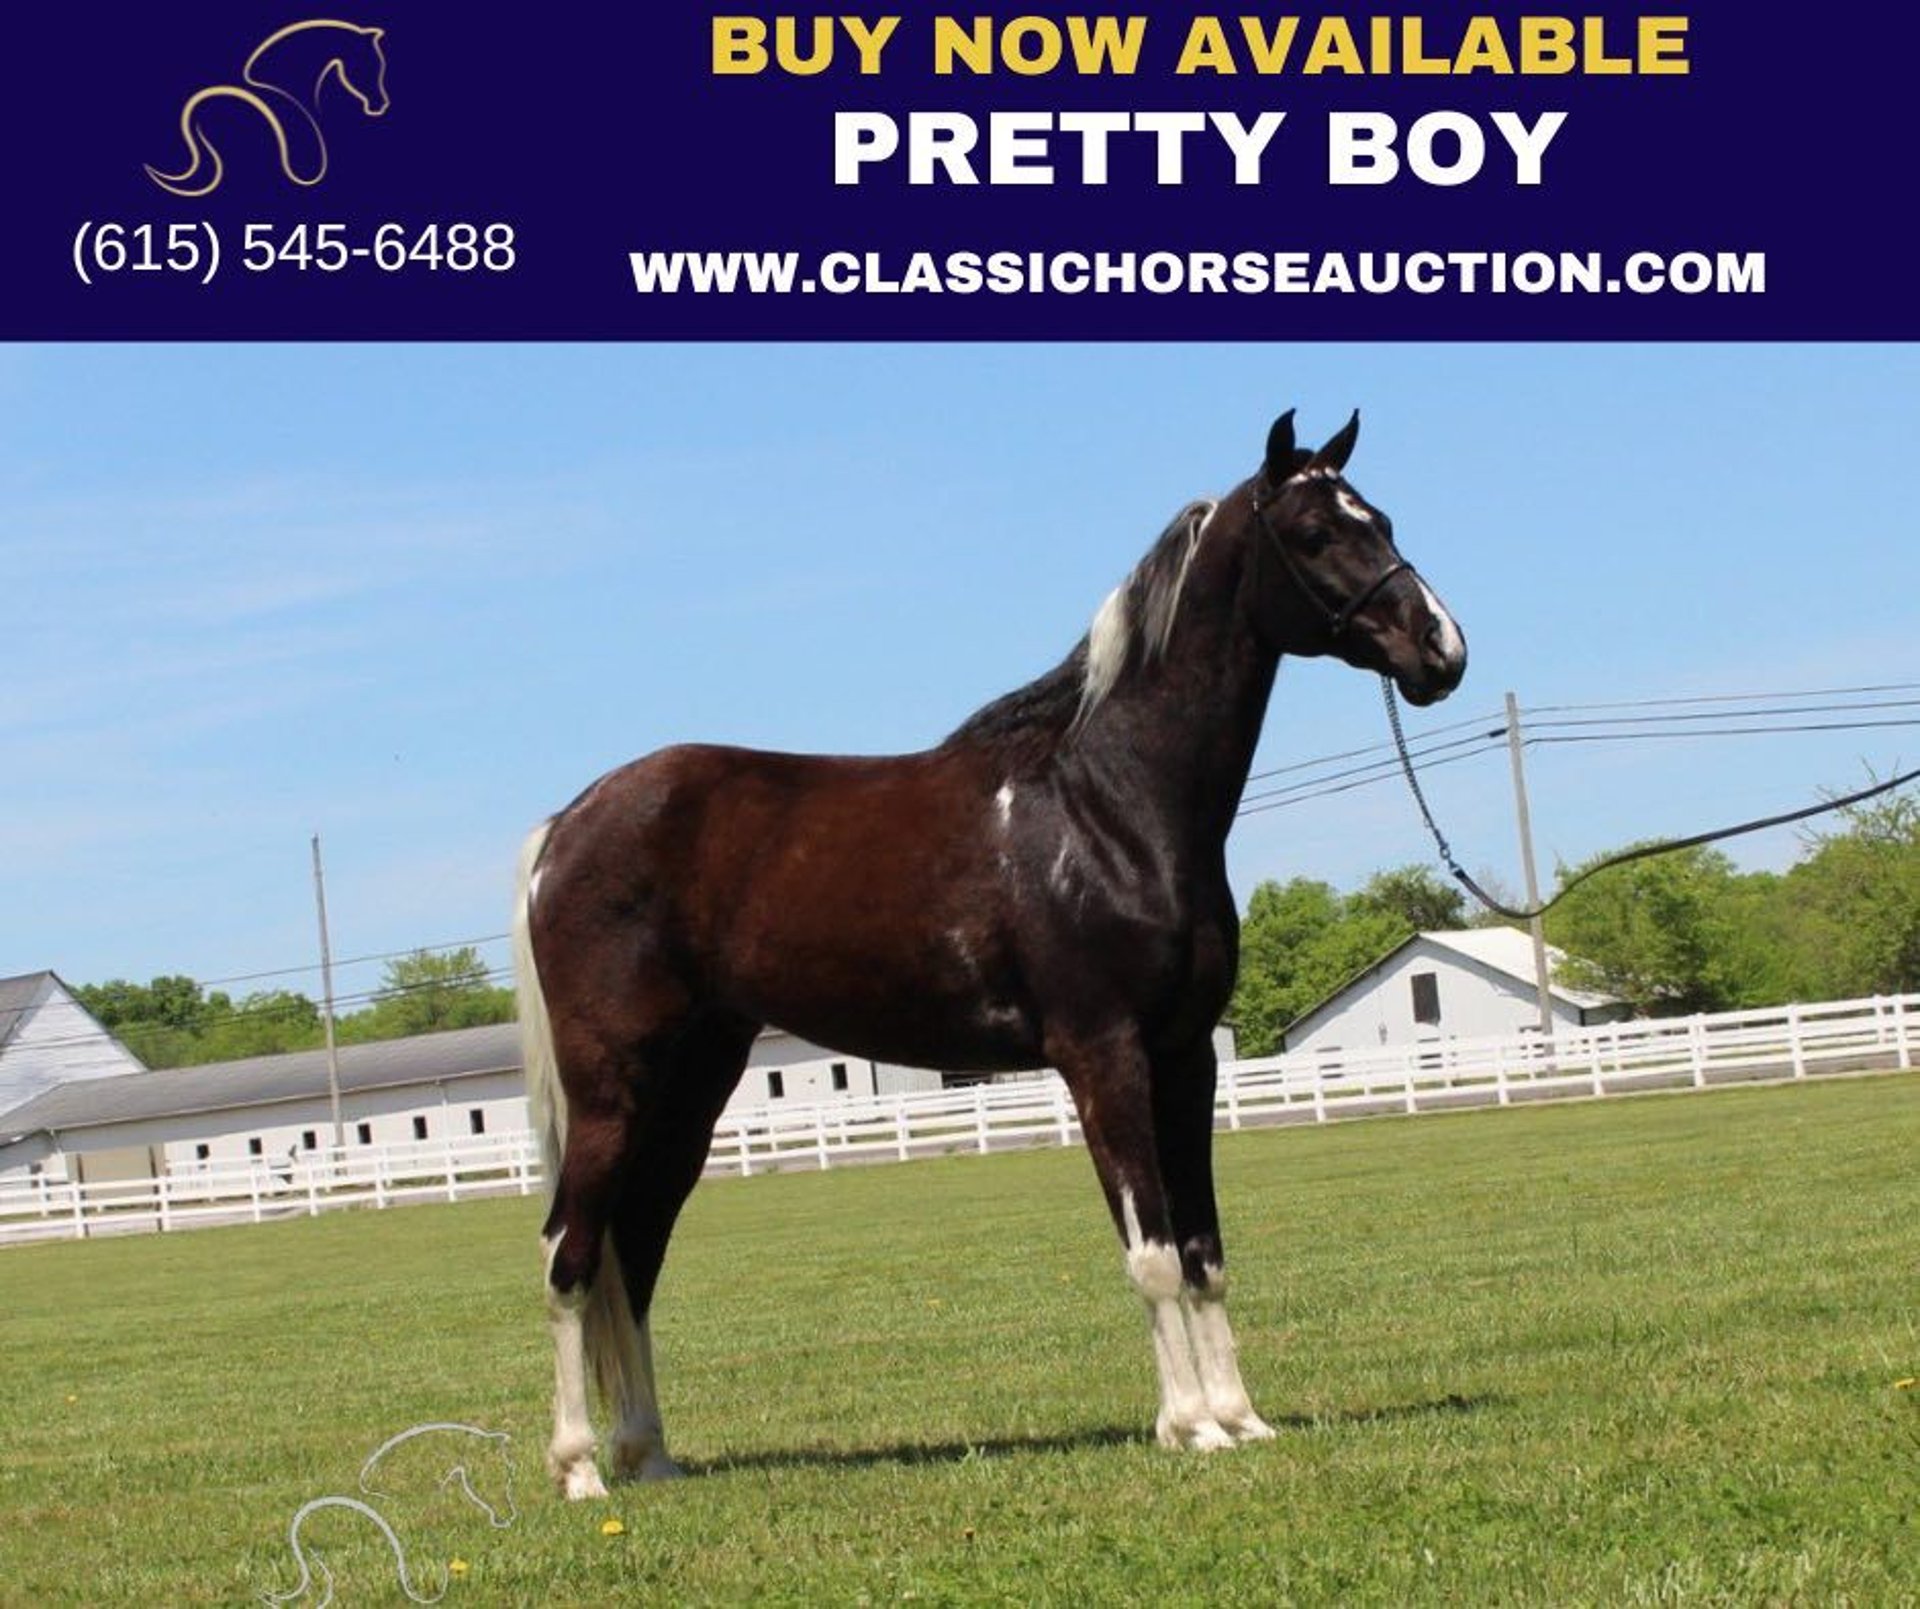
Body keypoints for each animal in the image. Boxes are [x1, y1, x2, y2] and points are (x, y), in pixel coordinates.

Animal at [511, 409, 1468, 1497]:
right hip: (611, 1092)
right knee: (568, 1255)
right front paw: (1189, 1425)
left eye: (1378, 517)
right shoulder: (1103, 1055)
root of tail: (569, 823)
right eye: (1313, 533)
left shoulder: (1186, 1059)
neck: (1109, 803)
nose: (1440, 648)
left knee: (633, 1253)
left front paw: (1240, 1415)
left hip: (692, 1089)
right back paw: (580, 1469)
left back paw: (651, 1454)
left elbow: (1203, 1249)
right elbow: (1150, 1252)